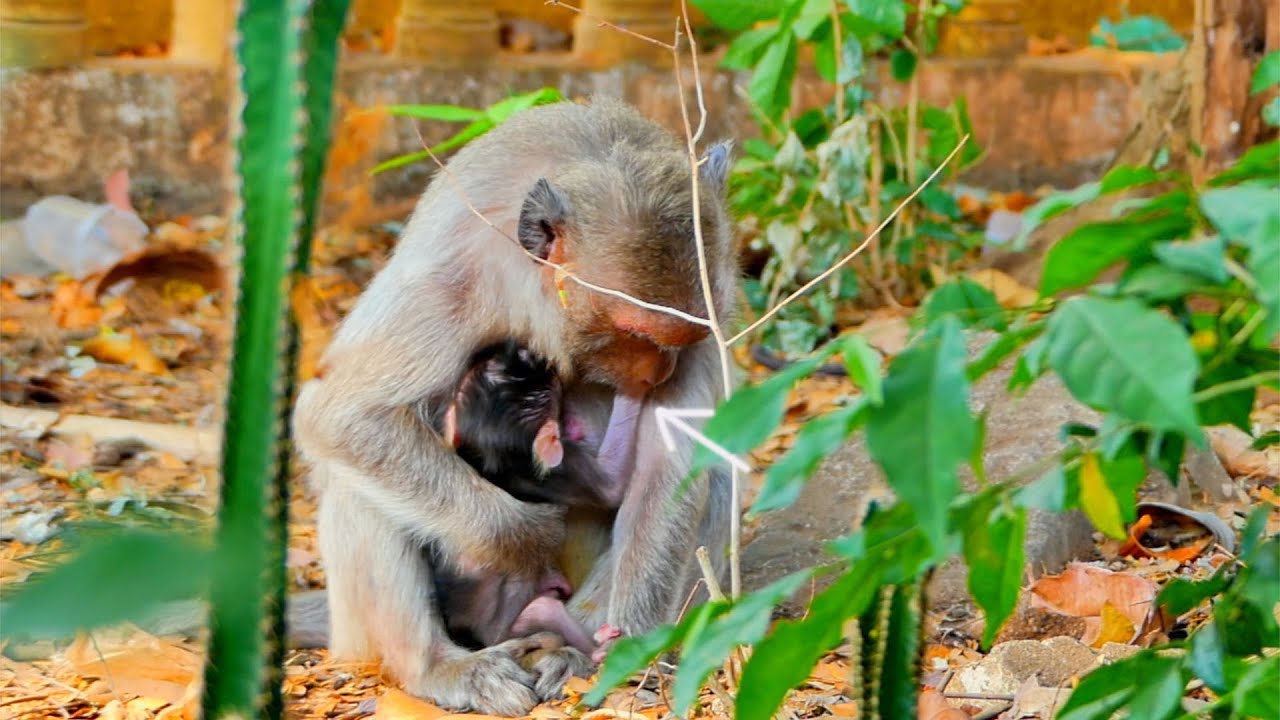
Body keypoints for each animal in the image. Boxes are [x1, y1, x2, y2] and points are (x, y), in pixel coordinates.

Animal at [290, 96, 740, 716]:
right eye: (636, 334)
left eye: (684, 340)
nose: (658, 376)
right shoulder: (452, 284)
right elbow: (343, 415)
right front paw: (525, 537)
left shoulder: (715, 302)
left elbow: (667, 470)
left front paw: (611, 659)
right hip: (364, 631)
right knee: (360, 480)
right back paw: (437, 665)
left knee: (714, 475)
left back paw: (571, 645)